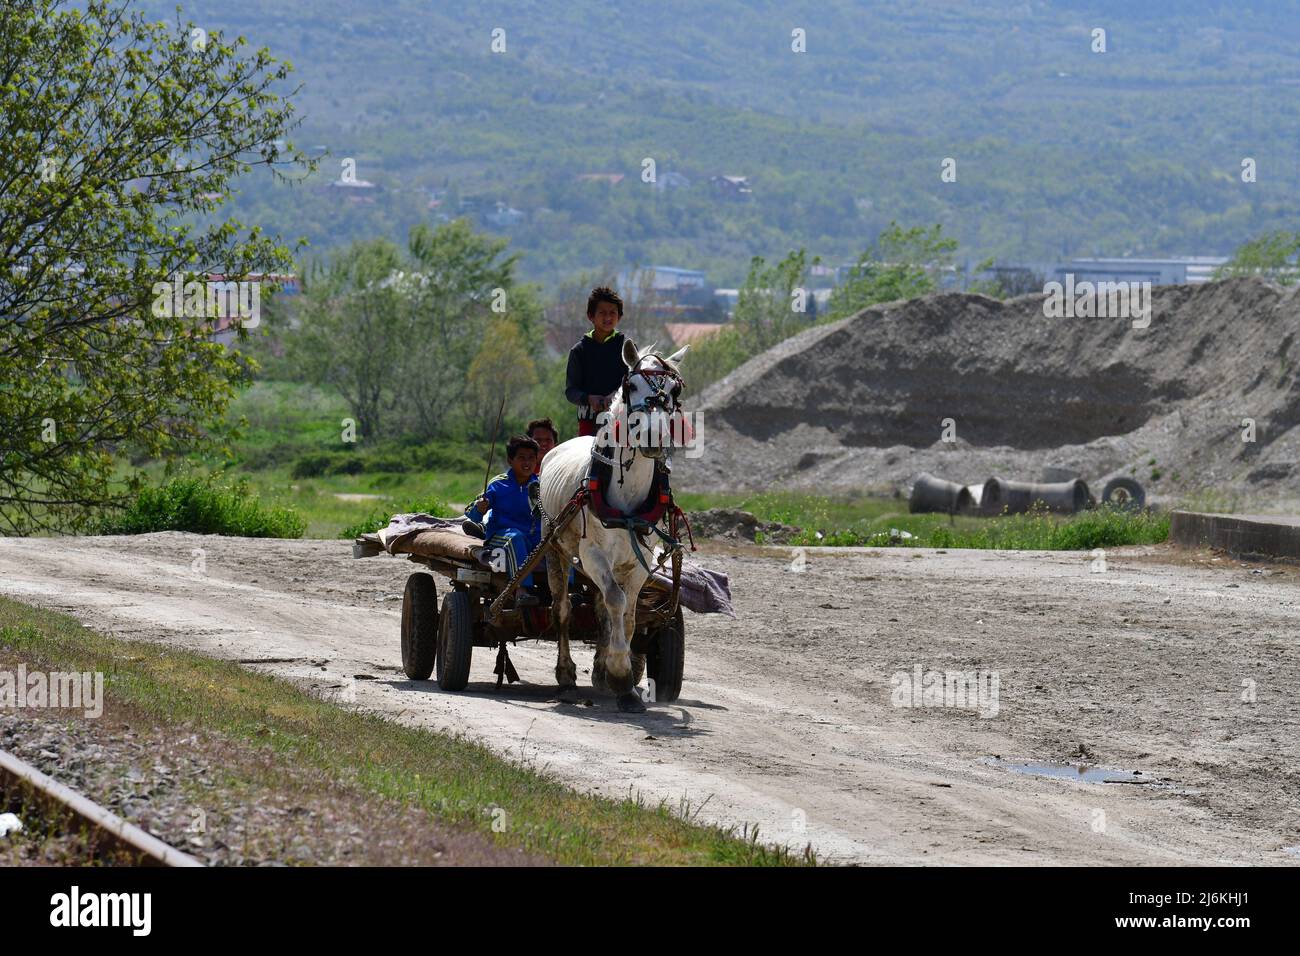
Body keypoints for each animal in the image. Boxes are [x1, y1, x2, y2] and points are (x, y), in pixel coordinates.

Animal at [537, 338, 689, 713]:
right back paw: (567, 674)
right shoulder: (592, 553)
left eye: (674, 391)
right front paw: (621, 675)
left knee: (600, 606)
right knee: (563, 609)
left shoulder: (641, 560)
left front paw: (621, 679)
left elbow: (629, 612)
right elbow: (617, 602)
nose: (652, 438)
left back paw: (598, 669)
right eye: (631, 386)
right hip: (556, 550)